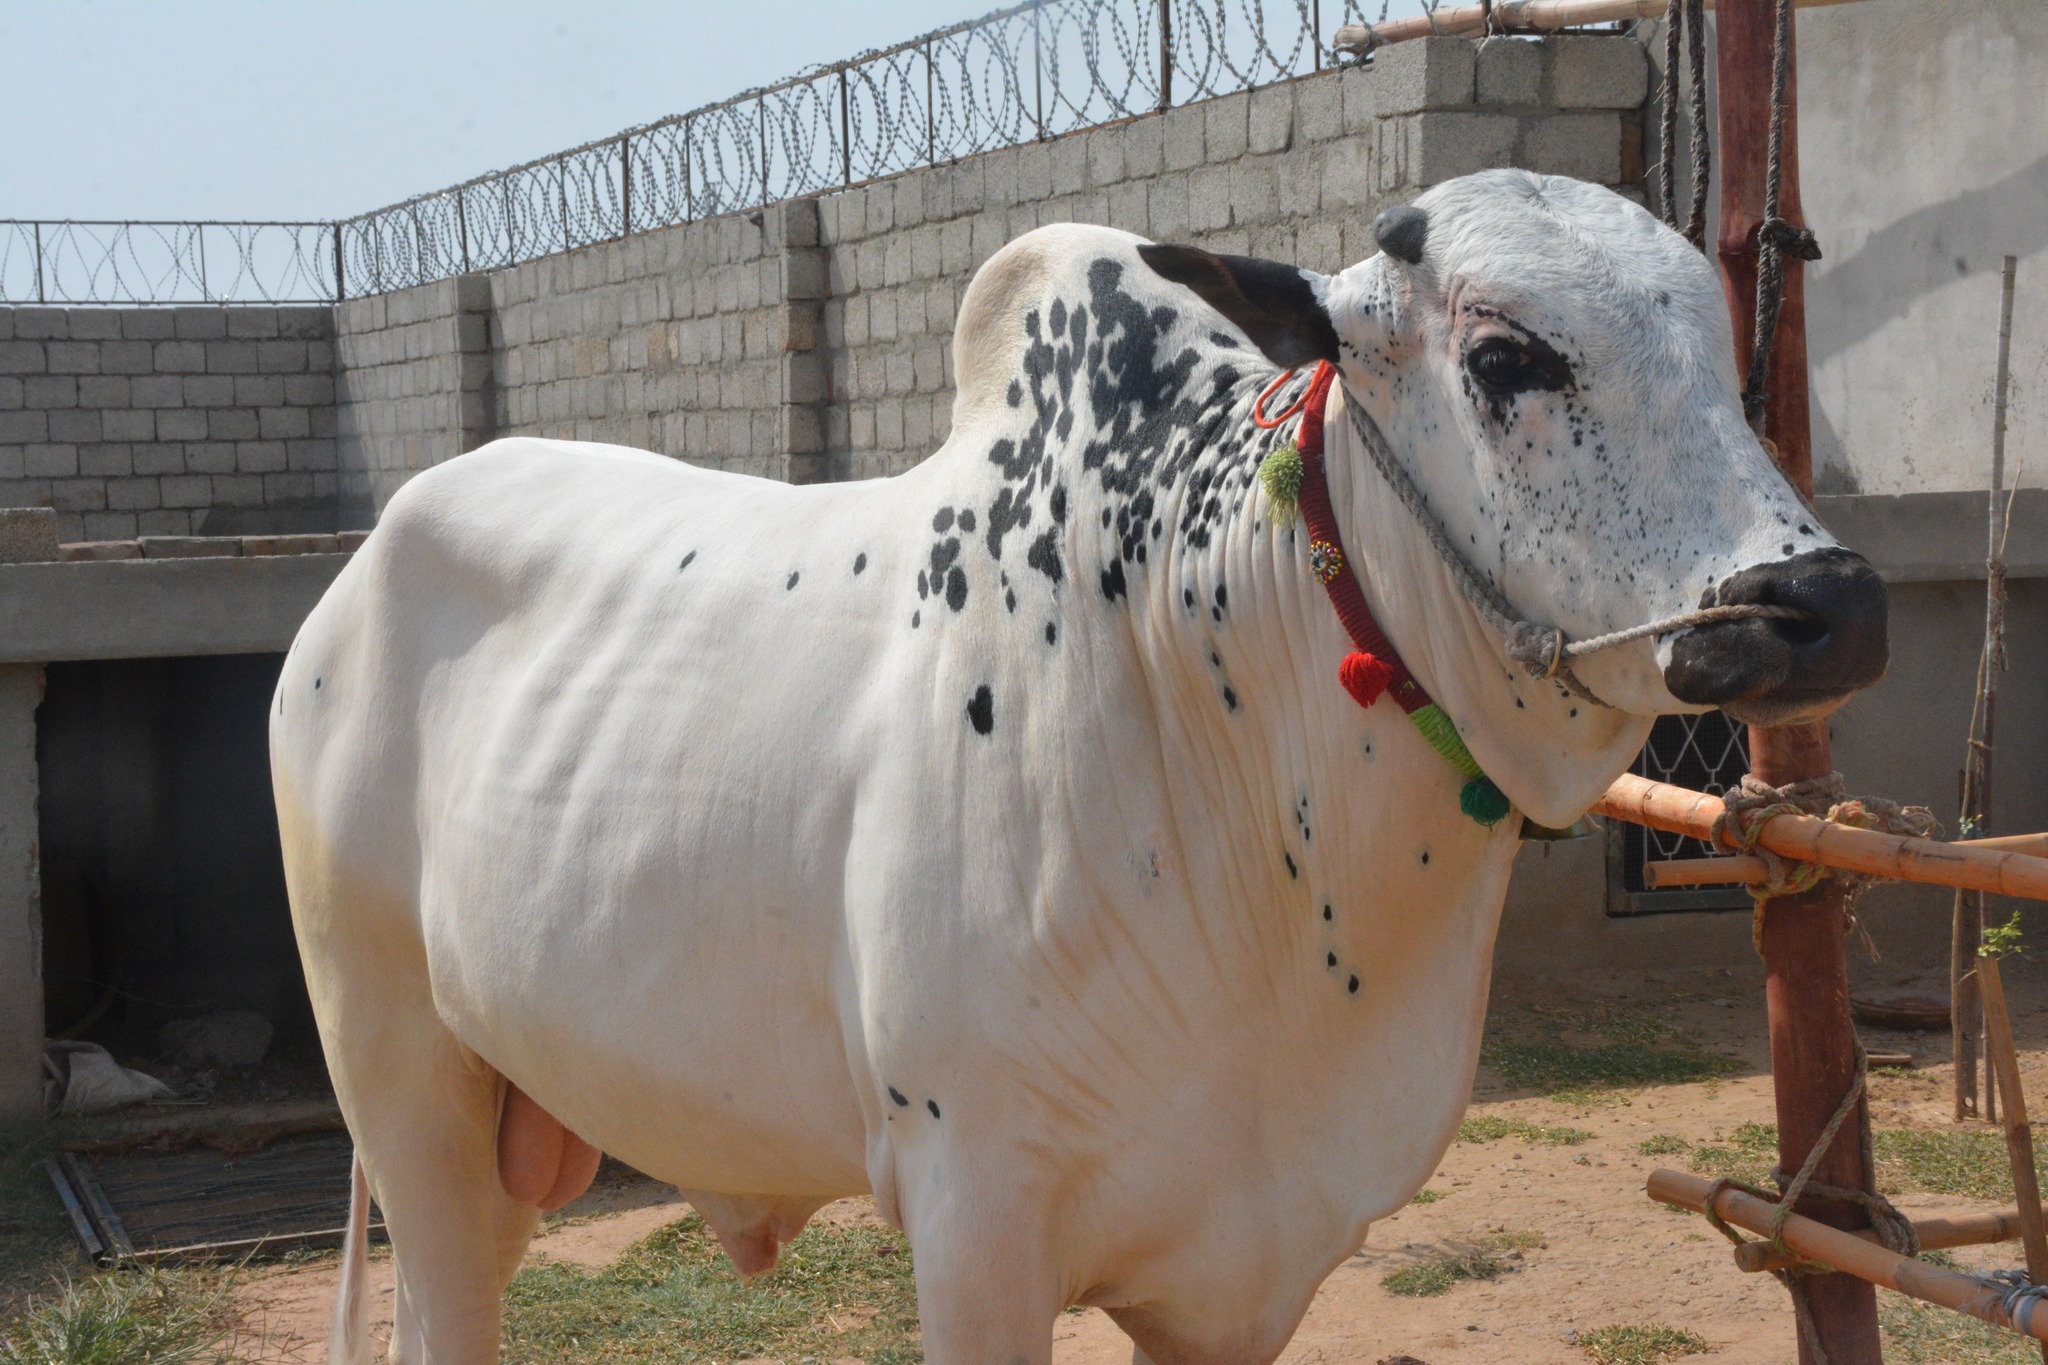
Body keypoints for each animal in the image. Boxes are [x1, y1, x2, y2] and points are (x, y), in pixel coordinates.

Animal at [272, 168, 1887, 1364]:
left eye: (1722, 350)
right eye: (1506, 357)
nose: (1828, 603)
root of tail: (346, 589)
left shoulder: (1243, 1273)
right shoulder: (977, 1224)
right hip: (407, 1098)